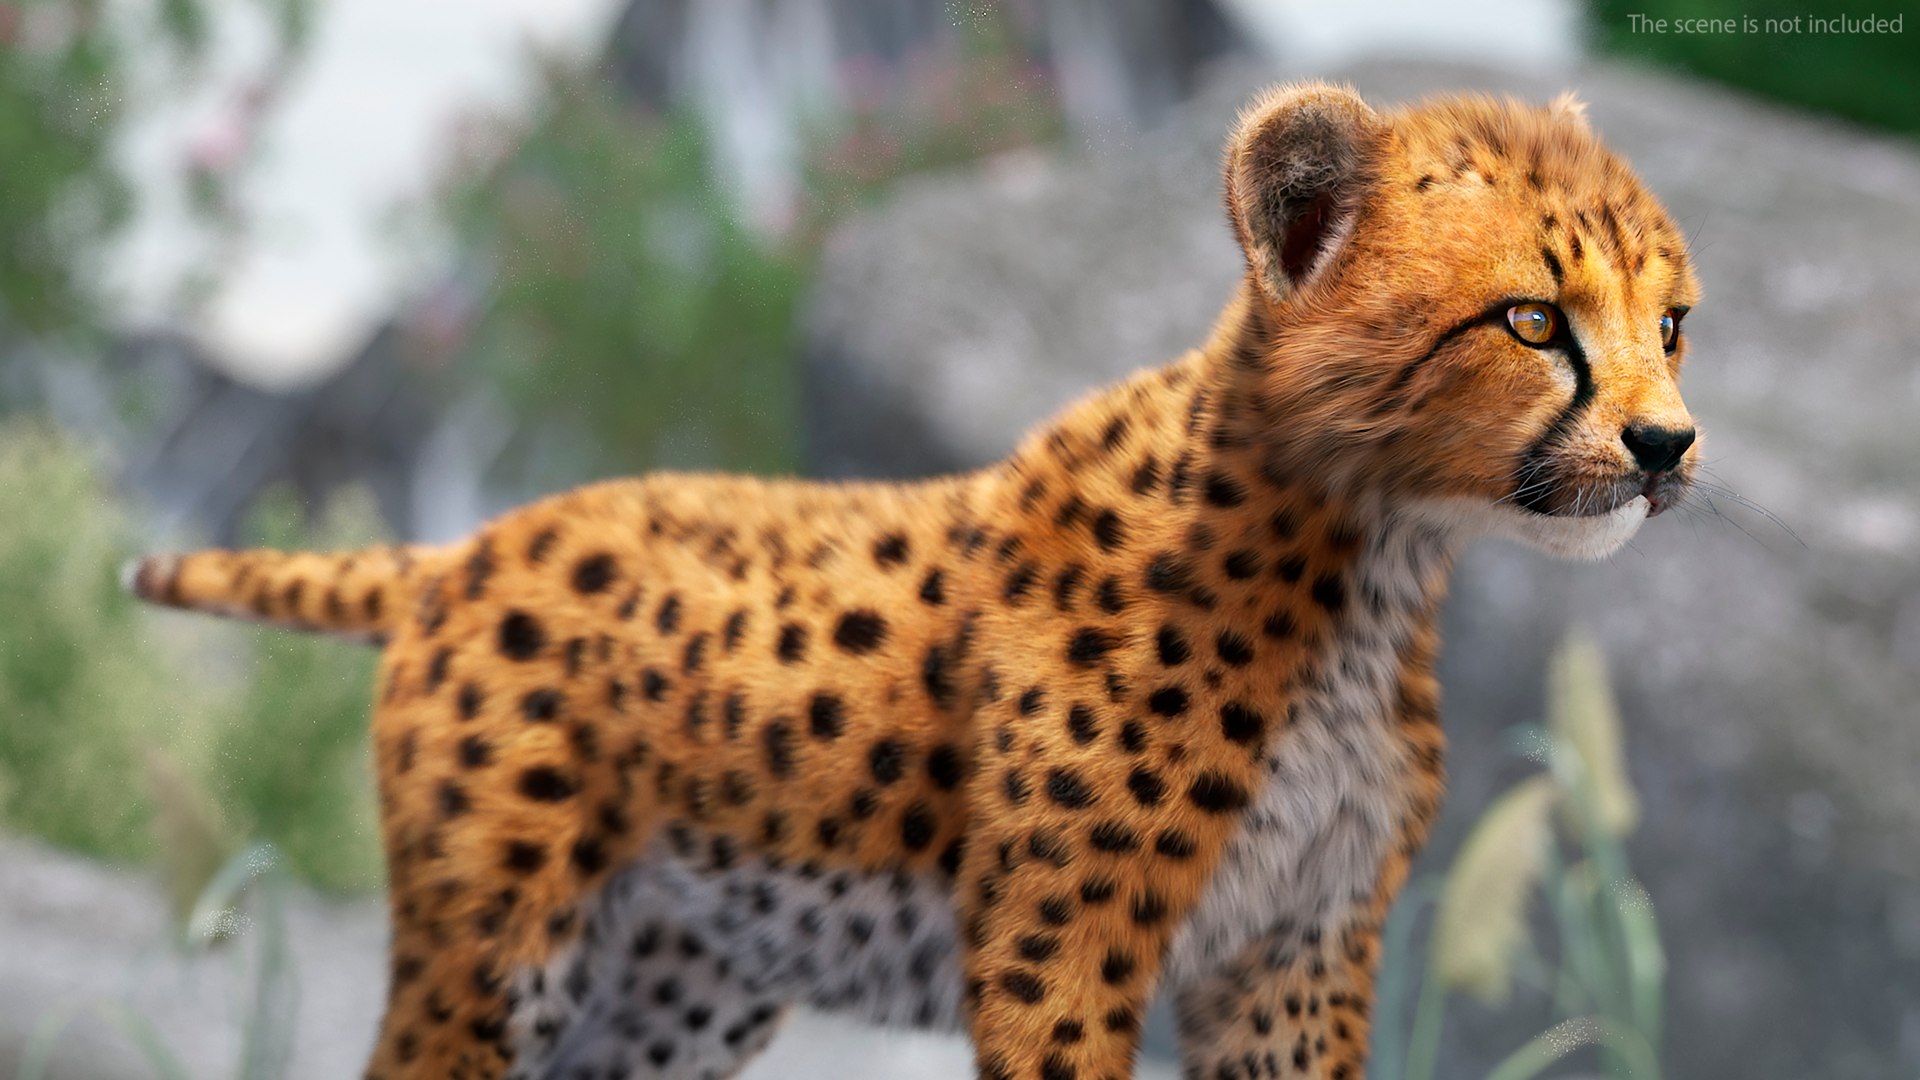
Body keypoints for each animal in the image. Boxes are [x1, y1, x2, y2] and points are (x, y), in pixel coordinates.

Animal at [127, 81, 1701, 1080]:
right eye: (1533, 320)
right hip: (505, 949)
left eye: (1673, 322)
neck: (1376, 557)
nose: (1670, 445)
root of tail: (467, 545)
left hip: (687, 981)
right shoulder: (1065, 955)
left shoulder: (1296, 955)